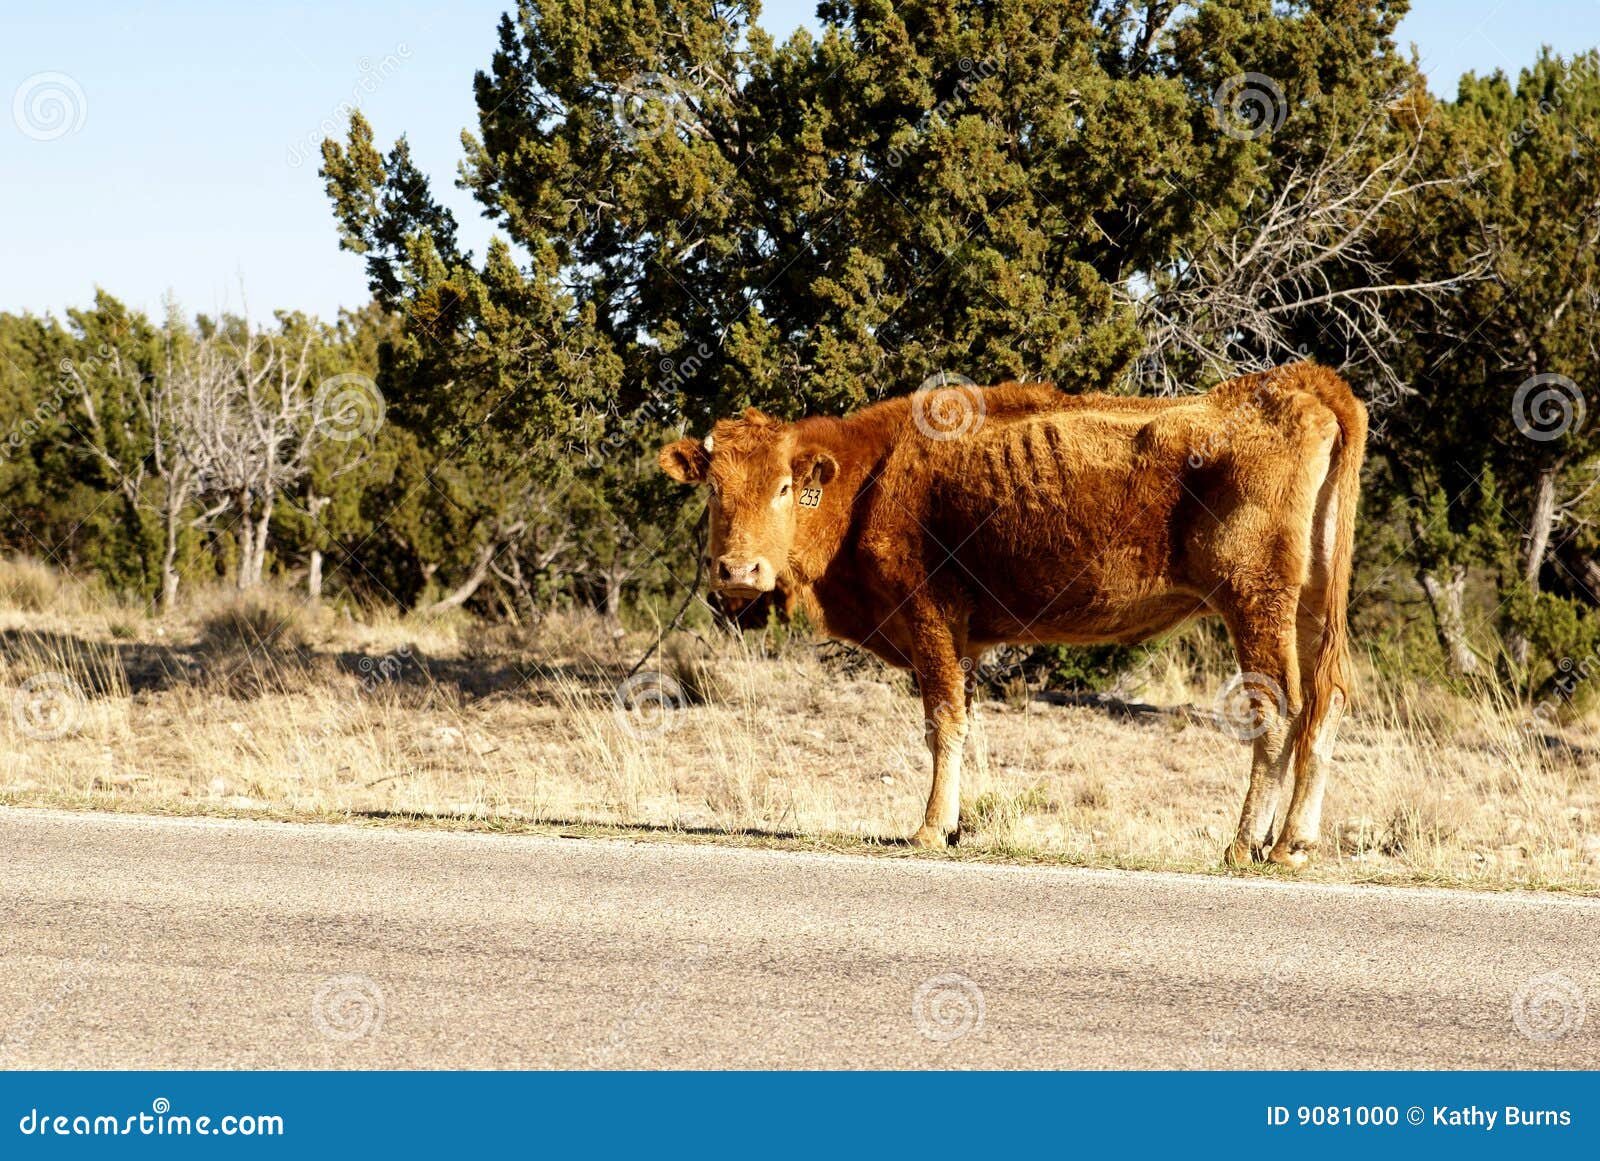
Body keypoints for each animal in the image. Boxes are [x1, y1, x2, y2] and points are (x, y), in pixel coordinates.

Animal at [658, 363, 1366, 868]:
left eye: (784, 487)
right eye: (714, 488)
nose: (738, 571)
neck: (870, 476)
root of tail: (1299, 387)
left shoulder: (930, 619)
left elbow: (943, 722)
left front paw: (928, 829)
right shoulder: (965, 642)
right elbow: (964, 723)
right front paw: (955, 825)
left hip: (1255, 602)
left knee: (1277, 707)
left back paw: (1245, 844)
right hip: (1309, 610)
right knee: (1324, 704)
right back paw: (1293, 844)